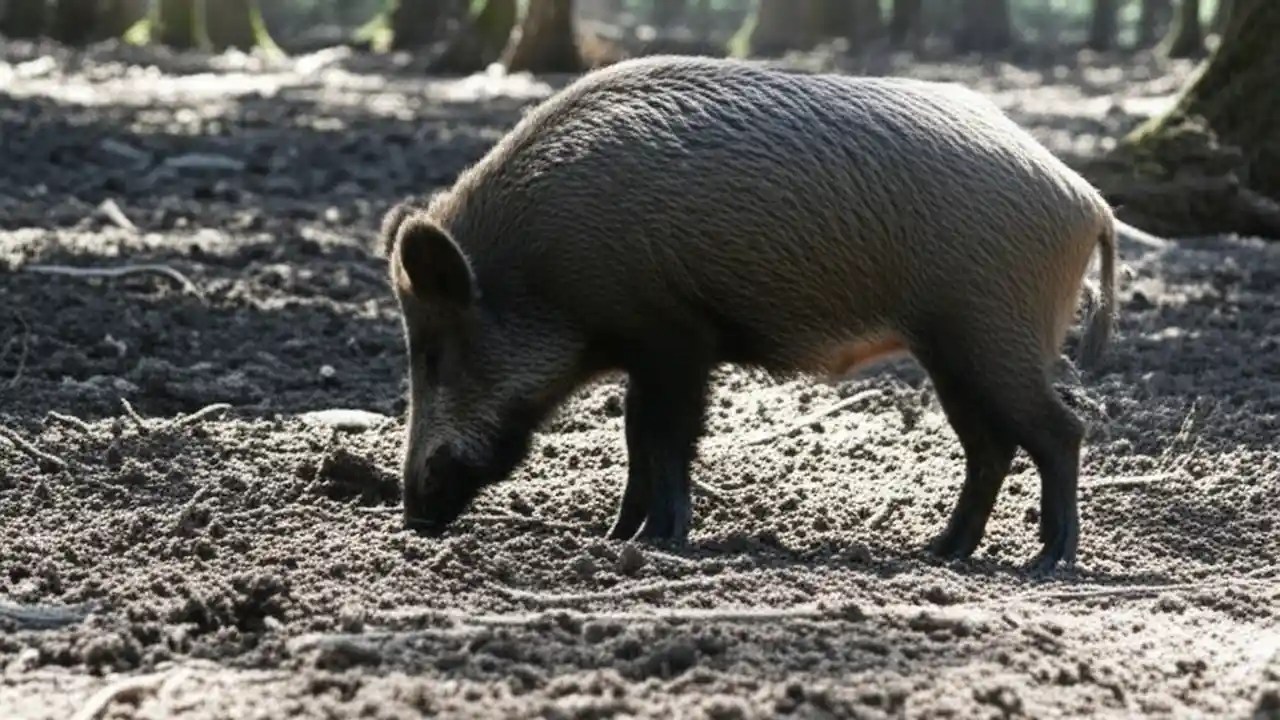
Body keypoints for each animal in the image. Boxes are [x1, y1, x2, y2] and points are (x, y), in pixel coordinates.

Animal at [382, 54, 1125, 573]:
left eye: (435, 351)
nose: (413, 514)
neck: (537, 270)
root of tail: (1089, 200)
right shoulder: (650, 352)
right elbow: (635, 436)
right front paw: (618, 535)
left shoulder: (676, 338)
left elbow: (666, 436)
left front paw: (662, 541)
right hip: (951, 353)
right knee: (991, 447)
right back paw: (940, 553)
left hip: (991, 335)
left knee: (1061, 431)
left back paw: (1048, 561)